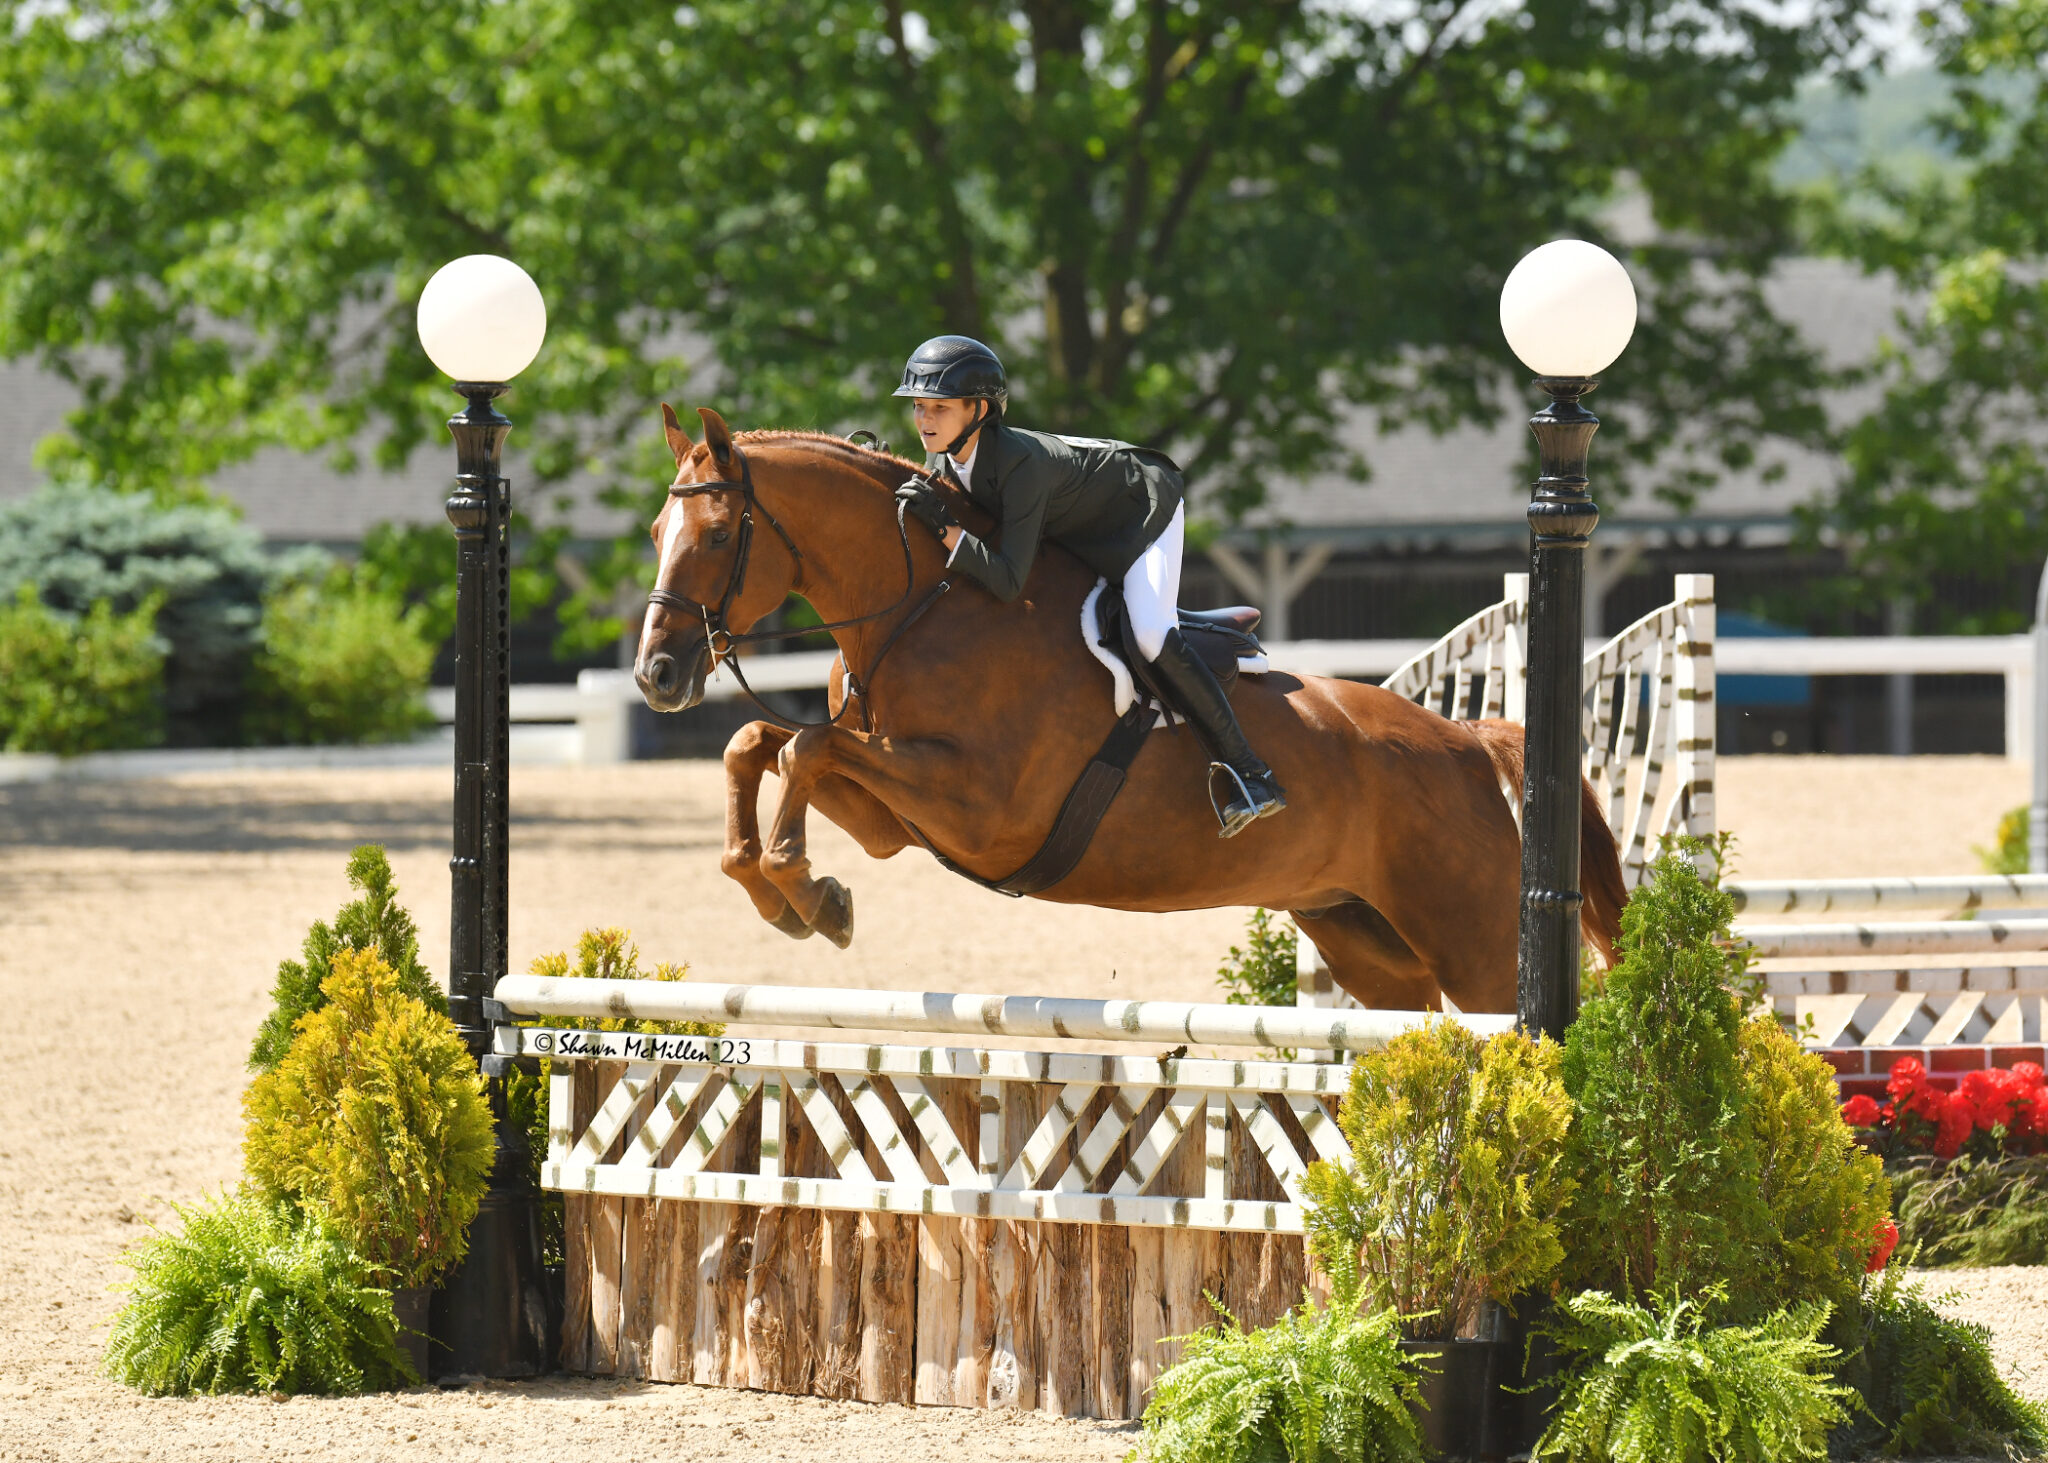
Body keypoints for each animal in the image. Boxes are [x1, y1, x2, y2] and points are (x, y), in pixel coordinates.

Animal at [635, 405, 1625, 1014]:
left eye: (716, 536)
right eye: (654, 534)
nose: (657, 674)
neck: (921, 602)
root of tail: (1466, 739)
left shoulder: (978, 808)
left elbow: (801, 747)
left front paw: (807, 889)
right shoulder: (897, 814)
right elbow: (762, 740)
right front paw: (786, 893)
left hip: (1480, 946)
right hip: (1362, 937)